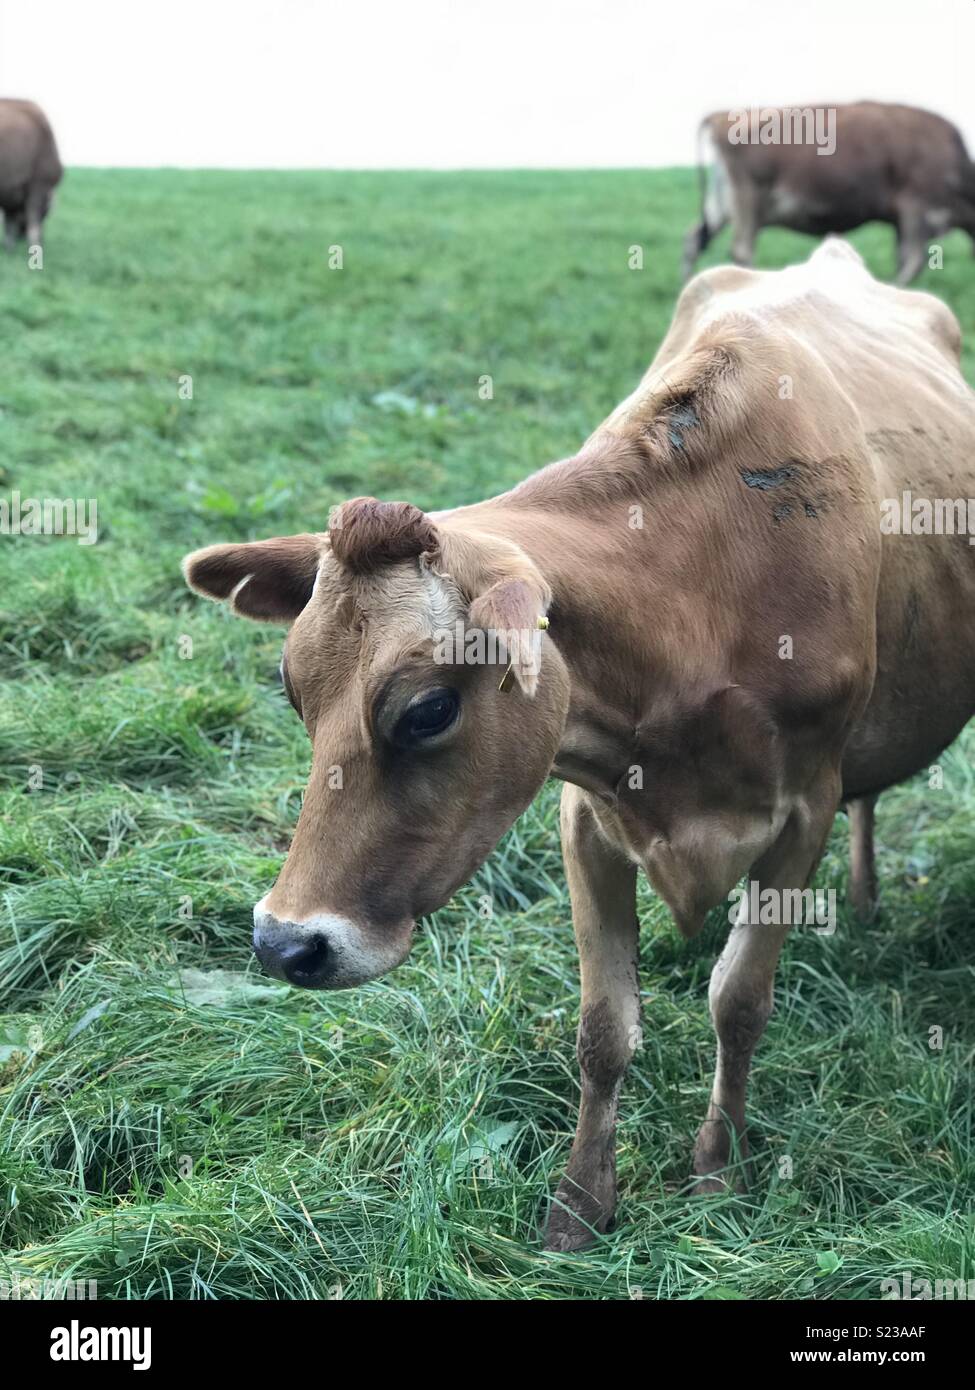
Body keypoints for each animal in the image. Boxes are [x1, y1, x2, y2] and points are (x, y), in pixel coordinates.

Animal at [0, 98, 62, 252]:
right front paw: (35, 245)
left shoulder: (10, 192)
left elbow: (9, 223)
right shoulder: (38, 186)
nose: (20, 237)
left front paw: (9, 248)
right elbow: (33, 222)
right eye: (46, 212)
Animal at [183, 239, 975, 1251]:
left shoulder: (803, 809)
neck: (700, 591)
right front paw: (579, 1205)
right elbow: (604, 1027)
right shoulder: (588, 814)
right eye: (291, 689)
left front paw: (716, 1171)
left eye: (427, 710)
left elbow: (739, 1001)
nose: (285, 944)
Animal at [682, 103, 975, 286]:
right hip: (747, 203)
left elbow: (904, 260)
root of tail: (721, 117)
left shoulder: (903, 221)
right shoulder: (917, 210)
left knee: (694, 239)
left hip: (722, 205)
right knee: (741, 251)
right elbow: (912, 264)